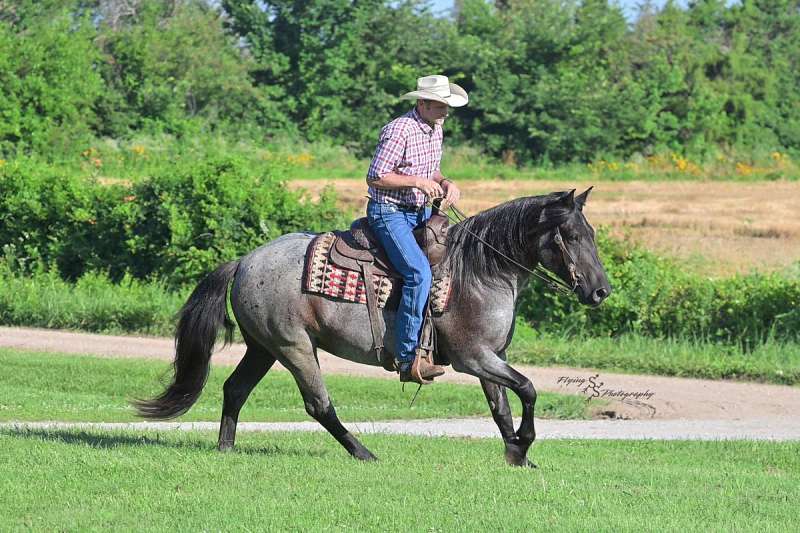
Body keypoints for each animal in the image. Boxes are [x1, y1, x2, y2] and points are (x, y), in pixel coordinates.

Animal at [135, 188, 611, 467]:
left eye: (591, 232)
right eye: (570, 235)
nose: (601, 291)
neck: (480, 273)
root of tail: (245, 261)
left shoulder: (492, 357)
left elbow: (502, 407)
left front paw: (517, 454)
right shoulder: (473, 358)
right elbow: (528, 389)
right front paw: (524, 444)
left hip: (263, 348)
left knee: (235, 389)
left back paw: (226, 448)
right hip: (294, 348)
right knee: (318, 405)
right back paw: (363, 452)